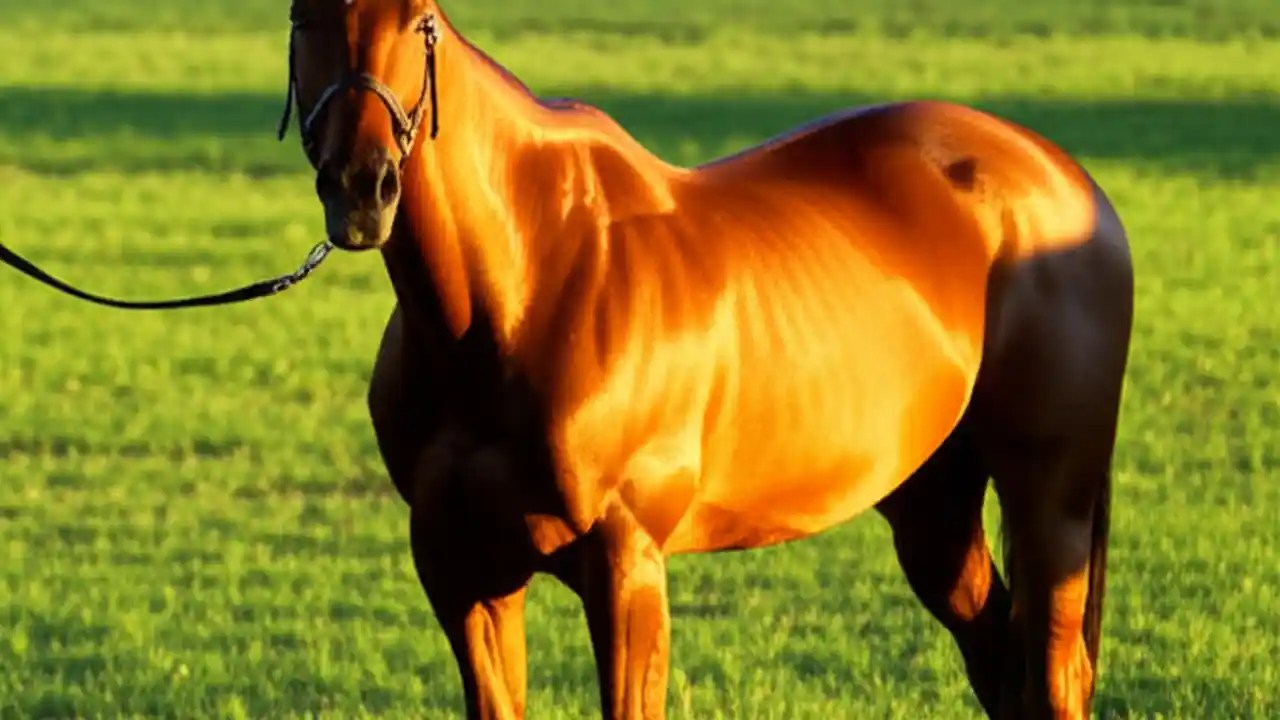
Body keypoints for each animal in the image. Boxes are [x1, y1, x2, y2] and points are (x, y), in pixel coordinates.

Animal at [278, 2, 1134, 718]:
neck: (527, 284)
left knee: (1053, 678)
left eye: (418, 21)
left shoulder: (625, 567)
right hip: (934, 508)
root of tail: (1066, 181)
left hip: (1049, 501)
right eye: (303, 15)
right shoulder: (462, 570)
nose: (362, 186)